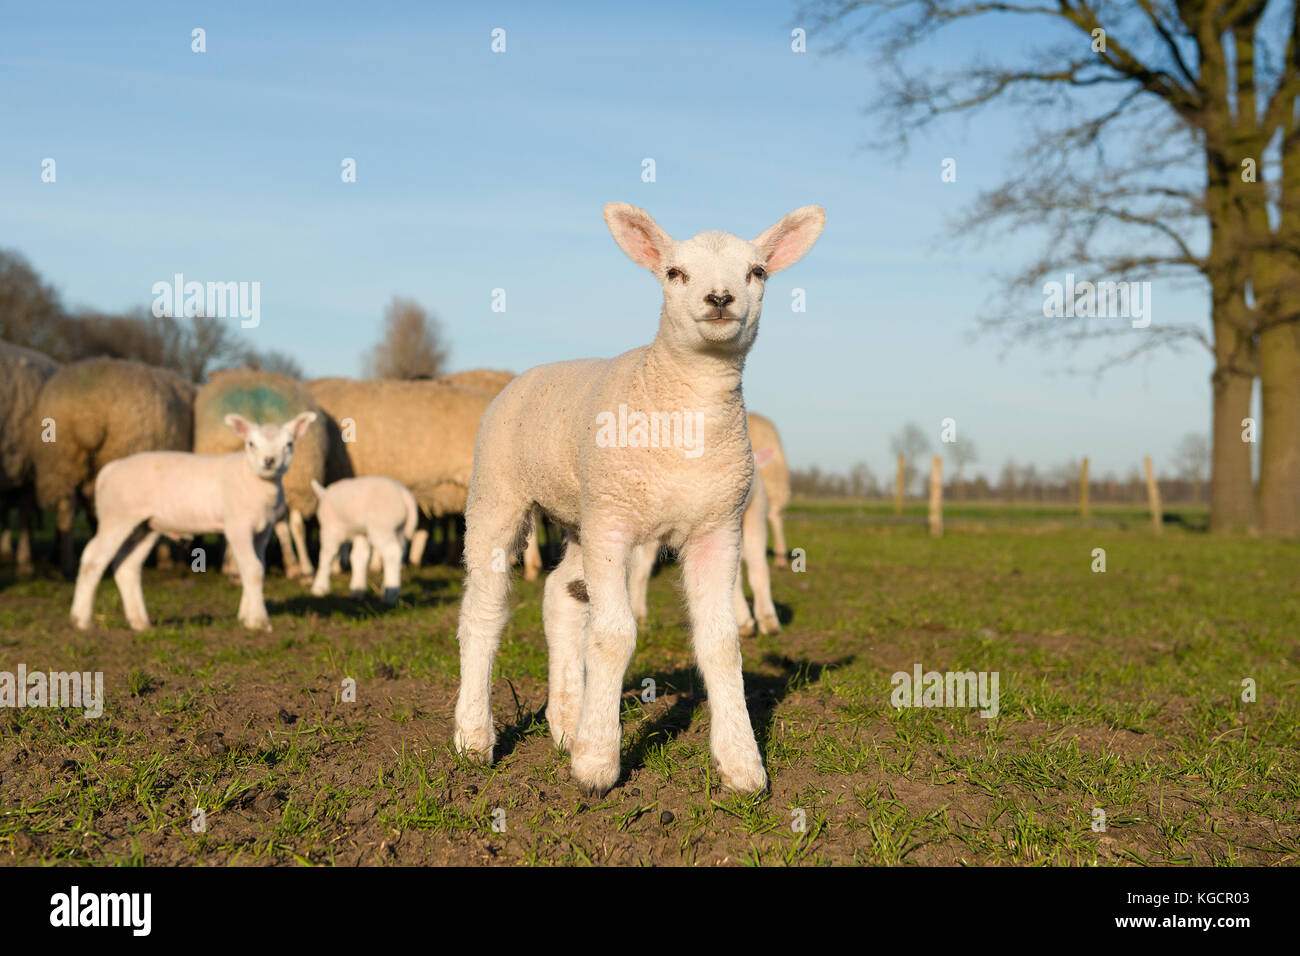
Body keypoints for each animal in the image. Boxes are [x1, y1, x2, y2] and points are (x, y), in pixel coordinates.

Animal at [32, 357, 195, 577]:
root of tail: (87, 416)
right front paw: (167, 560)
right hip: (122, 456)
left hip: (62, 462)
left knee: (66, 511)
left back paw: (68, 564)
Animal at [70, 411, 317, 631]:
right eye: (251, 444)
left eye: (289, 444)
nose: (269, 462)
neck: (253, 478)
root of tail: (109, 470)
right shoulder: (238, 525)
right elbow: (253, 569)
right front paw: (258, 621)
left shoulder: (262, 530)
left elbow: (259, 568)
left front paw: (246, 616)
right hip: (117, 516)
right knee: (93, 557)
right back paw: (81, 619)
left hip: (145, 525)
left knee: (127, 566)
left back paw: (140, 622)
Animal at [194, 368, 327, 579]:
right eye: (251, 443)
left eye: (288, 444)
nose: (269, 461)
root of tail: (258, 407)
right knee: (294, 525)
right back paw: (300, 567)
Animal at [309, 476, 418, 604]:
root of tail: (405, 495)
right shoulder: (361, 534)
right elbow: (359, 557)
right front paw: (357, 589)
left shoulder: (330, 529)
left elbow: (327, 556)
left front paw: (319, 588)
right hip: (398, 529)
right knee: (401, 551)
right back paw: (388, 588)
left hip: (382, 526)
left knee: (392, 552)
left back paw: (391, 594)